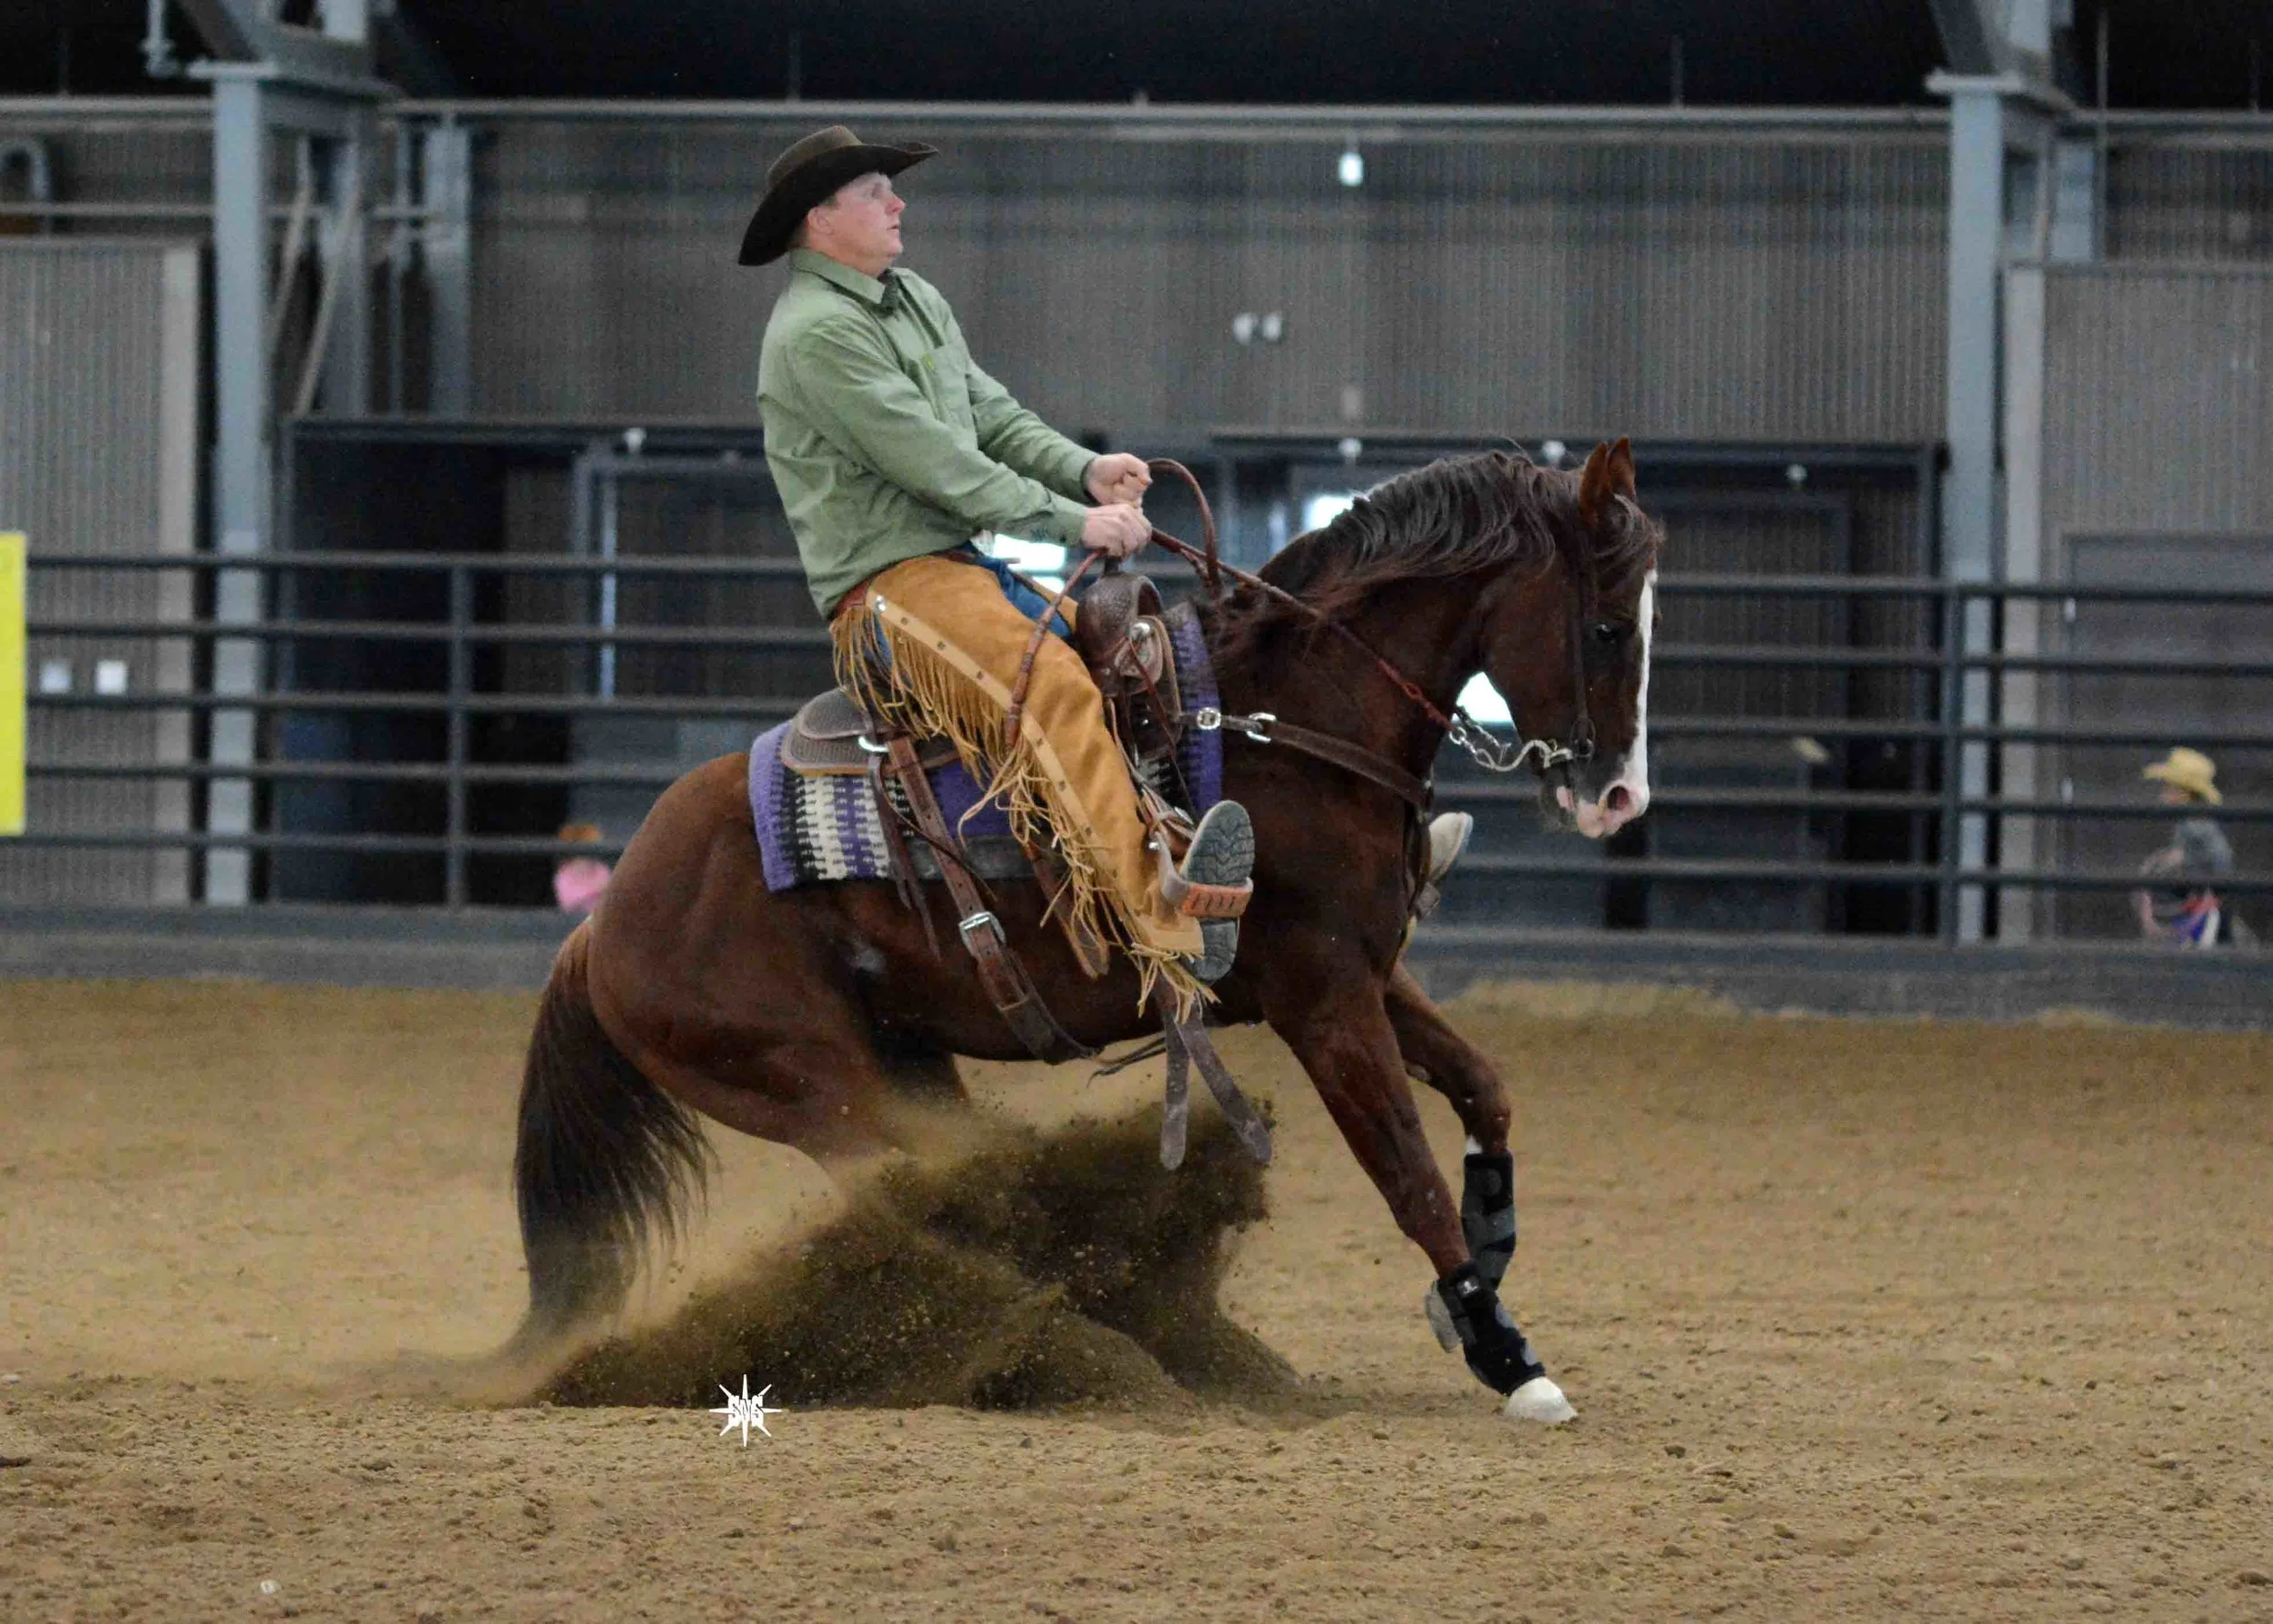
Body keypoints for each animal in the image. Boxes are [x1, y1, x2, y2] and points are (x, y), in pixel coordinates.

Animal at [511, 438, 1662, 1422]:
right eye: (1608, 625)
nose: (1617, 796)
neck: (1292, 723)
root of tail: (606, 920)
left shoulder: (1374, 972)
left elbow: (1485, 1092)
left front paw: (1475, 1290)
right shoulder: (1322, 997)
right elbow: (1409, 1176)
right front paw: (1508, 1356)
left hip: (906, 1062)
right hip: (818, 1086)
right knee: (933, 1214)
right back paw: (1060, 1351)